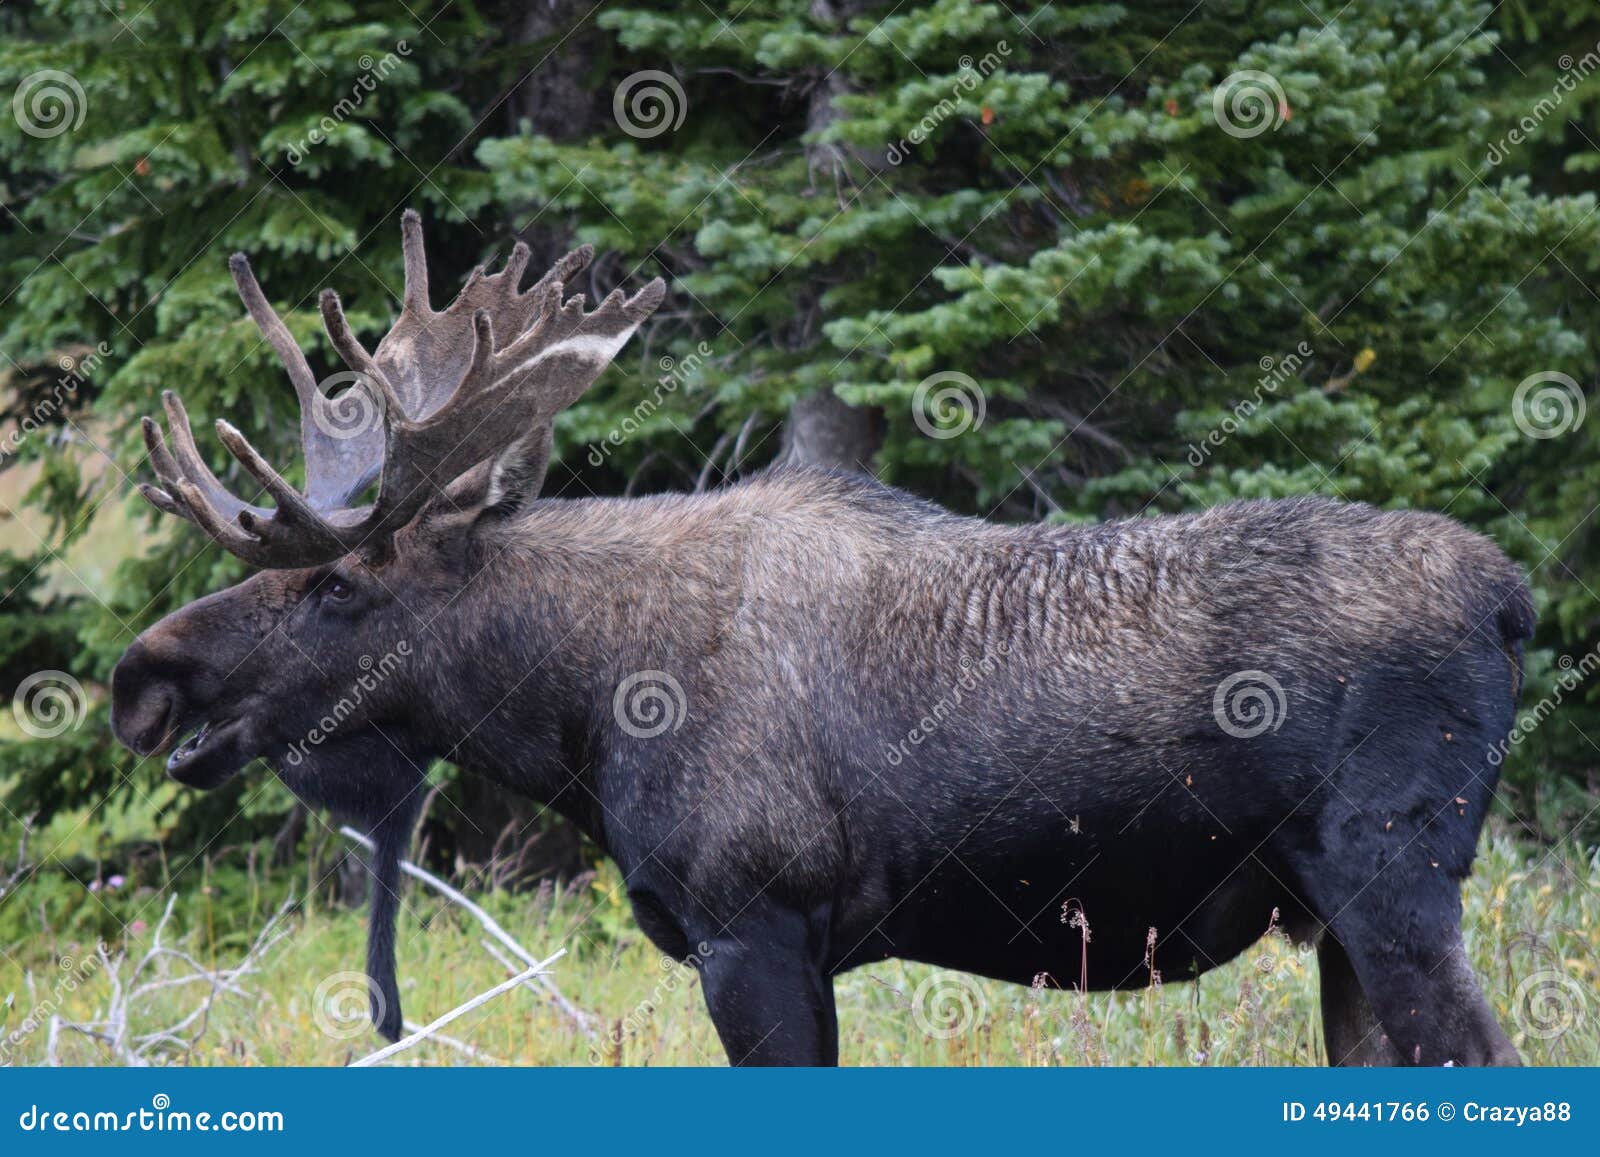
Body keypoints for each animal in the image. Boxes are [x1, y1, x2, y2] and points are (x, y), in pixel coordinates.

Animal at [111, 212, 1532, 1066]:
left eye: (339, 581)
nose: (141, 678)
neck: (578, 714)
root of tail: (1513, 596)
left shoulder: (756, 921)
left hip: (1391, 877)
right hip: (1336, 919)